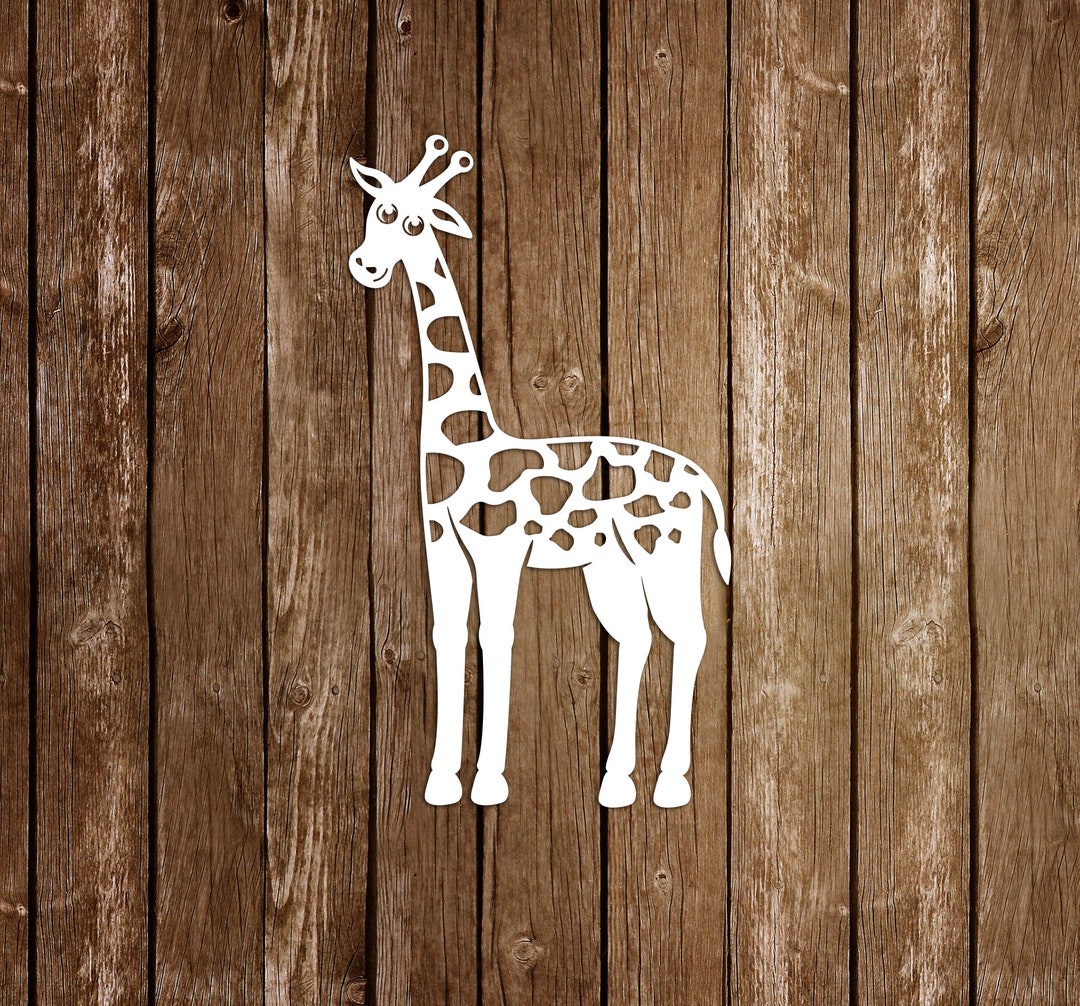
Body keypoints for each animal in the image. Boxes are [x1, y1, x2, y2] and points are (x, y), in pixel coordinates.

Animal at [349, 135, 731, 809]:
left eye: (416, 222)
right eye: (379, 211)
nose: (365, 267)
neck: (469, 440)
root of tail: (702, 477)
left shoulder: (500, 549)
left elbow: (495, 637)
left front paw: (489, 781)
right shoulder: (440, 544)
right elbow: (447, 634)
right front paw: (442, 781)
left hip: (666, 551)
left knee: (690, 636)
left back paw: (670, 786)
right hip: (608, 566)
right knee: (638, 638)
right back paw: (615, 784)